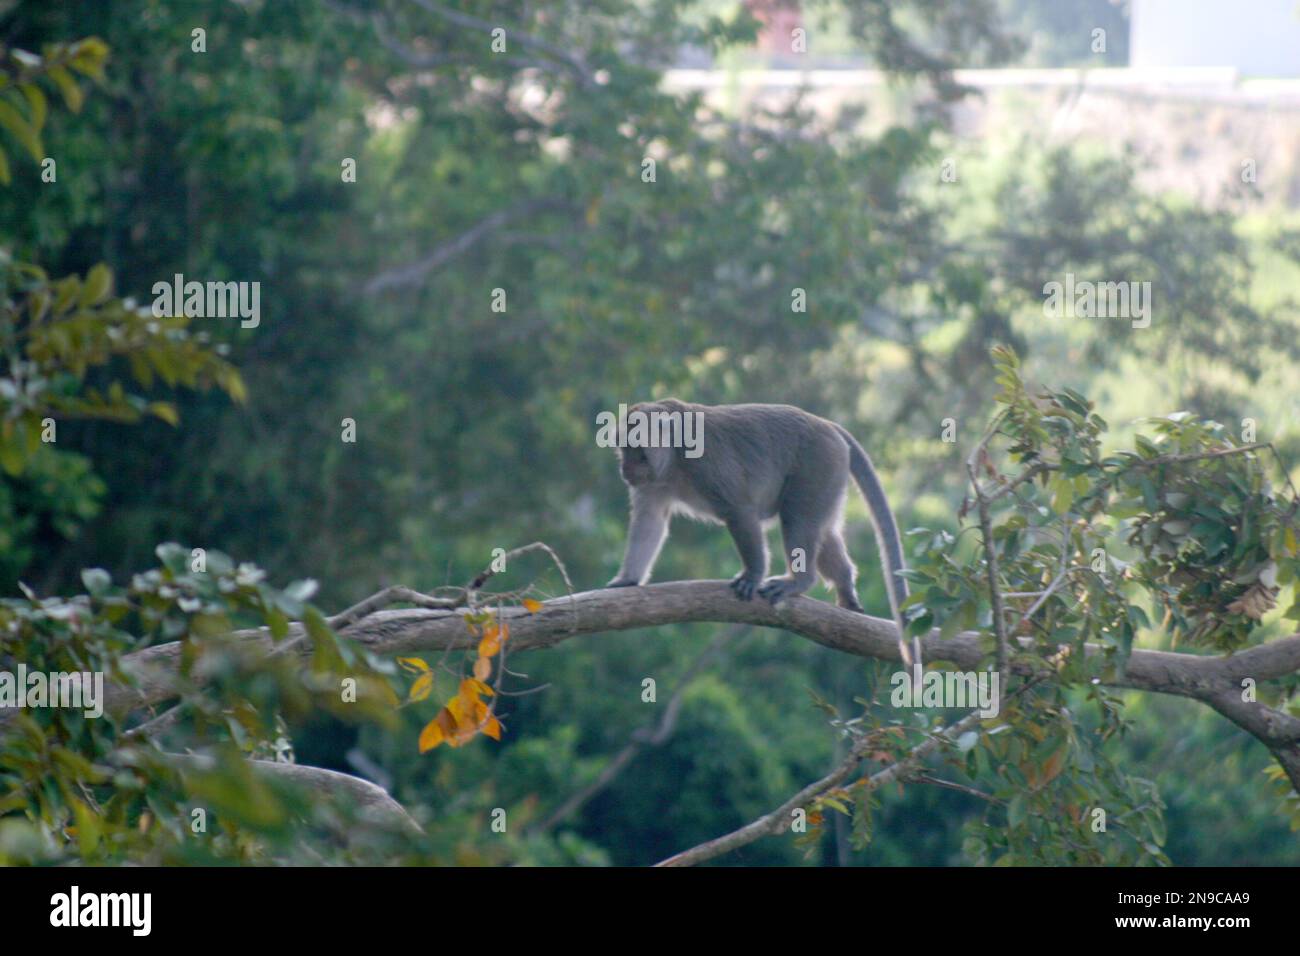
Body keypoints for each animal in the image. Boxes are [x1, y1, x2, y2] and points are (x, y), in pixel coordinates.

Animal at [605, 398, 919, 669]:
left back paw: (800, 581)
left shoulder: (705, 463)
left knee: (797, 519)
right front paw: (628, 579)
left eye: (638, 450)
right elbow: (649, 522)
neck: (674, 456)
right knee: (824, 531)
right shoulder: (654, 484)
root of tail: (826, 424)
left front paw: (752, 575)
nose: (624, 470)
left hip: (819, 464)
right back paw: (845, 588)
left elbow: (739, 510)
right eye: (624, 448)